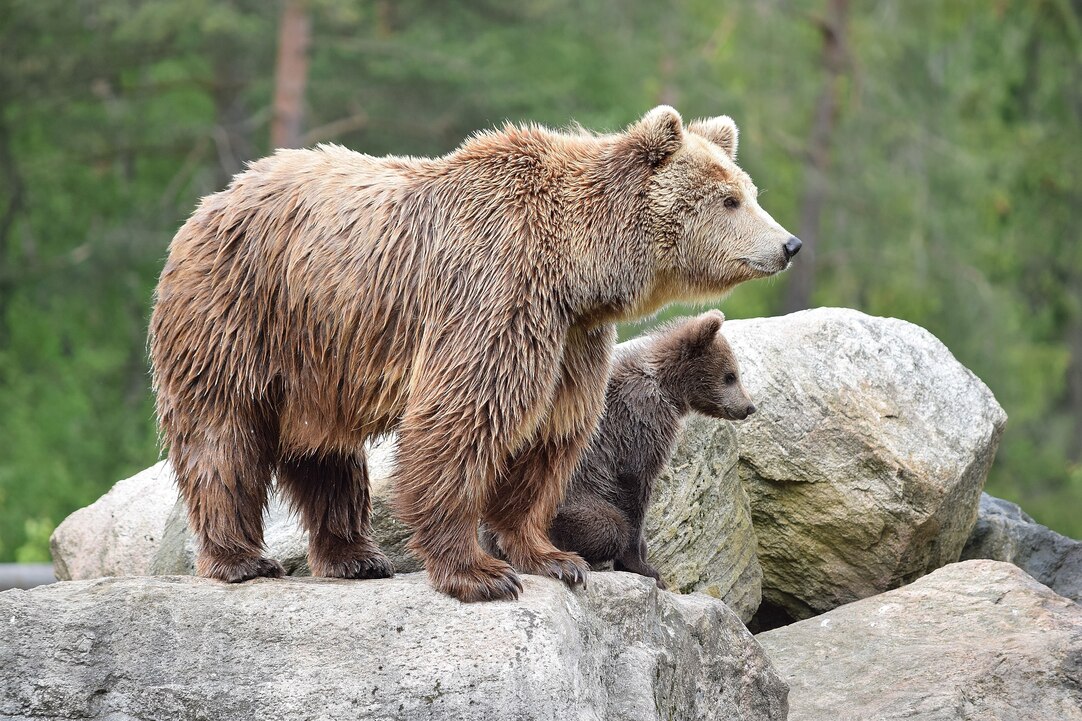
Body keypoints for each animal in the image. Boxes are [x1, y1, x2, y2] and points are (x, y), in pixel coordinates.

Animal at [538, 310, 755, 589]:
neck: (669, 390)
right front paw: (644, 567)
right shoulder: (639, 423)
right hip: (572, 495)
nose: (749, 407)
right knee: (609, 525)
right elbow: (635, 490)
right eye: (730, 376)